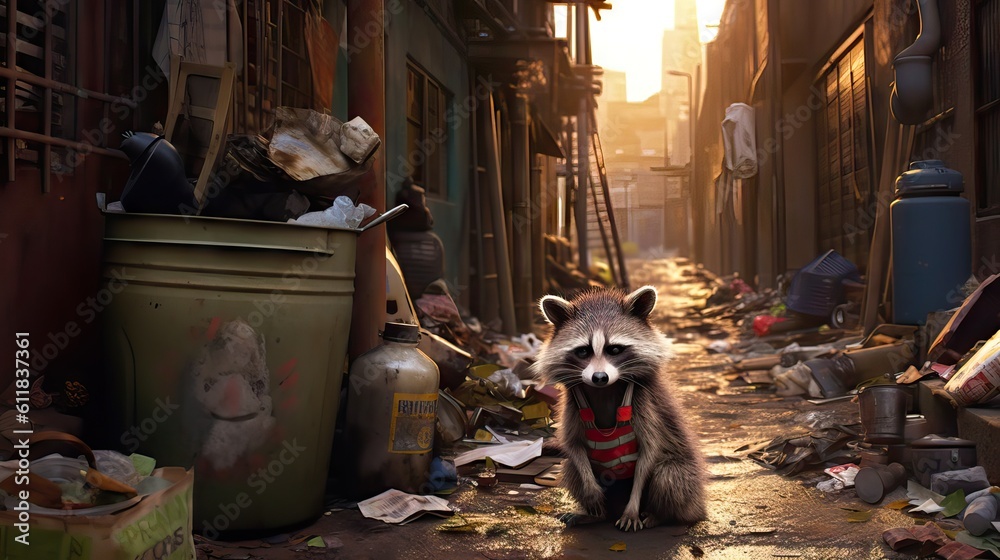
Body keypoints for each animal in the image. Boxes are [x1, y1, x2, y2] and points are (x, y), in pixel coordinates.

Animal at [531, 286, 707, 531]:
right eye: (583, 351)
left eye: (614, 349)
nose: (599, 377)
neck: (605, 389)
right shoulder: (571, 403)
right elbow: (573, 445)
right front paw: (591, 493)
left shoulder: (645, 403)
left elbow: (650, 451)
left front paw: (633, 509)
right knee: (572, 468)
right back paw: (595, 514)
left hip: (688, 483)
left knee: (669, 474)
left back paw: (659, 515)